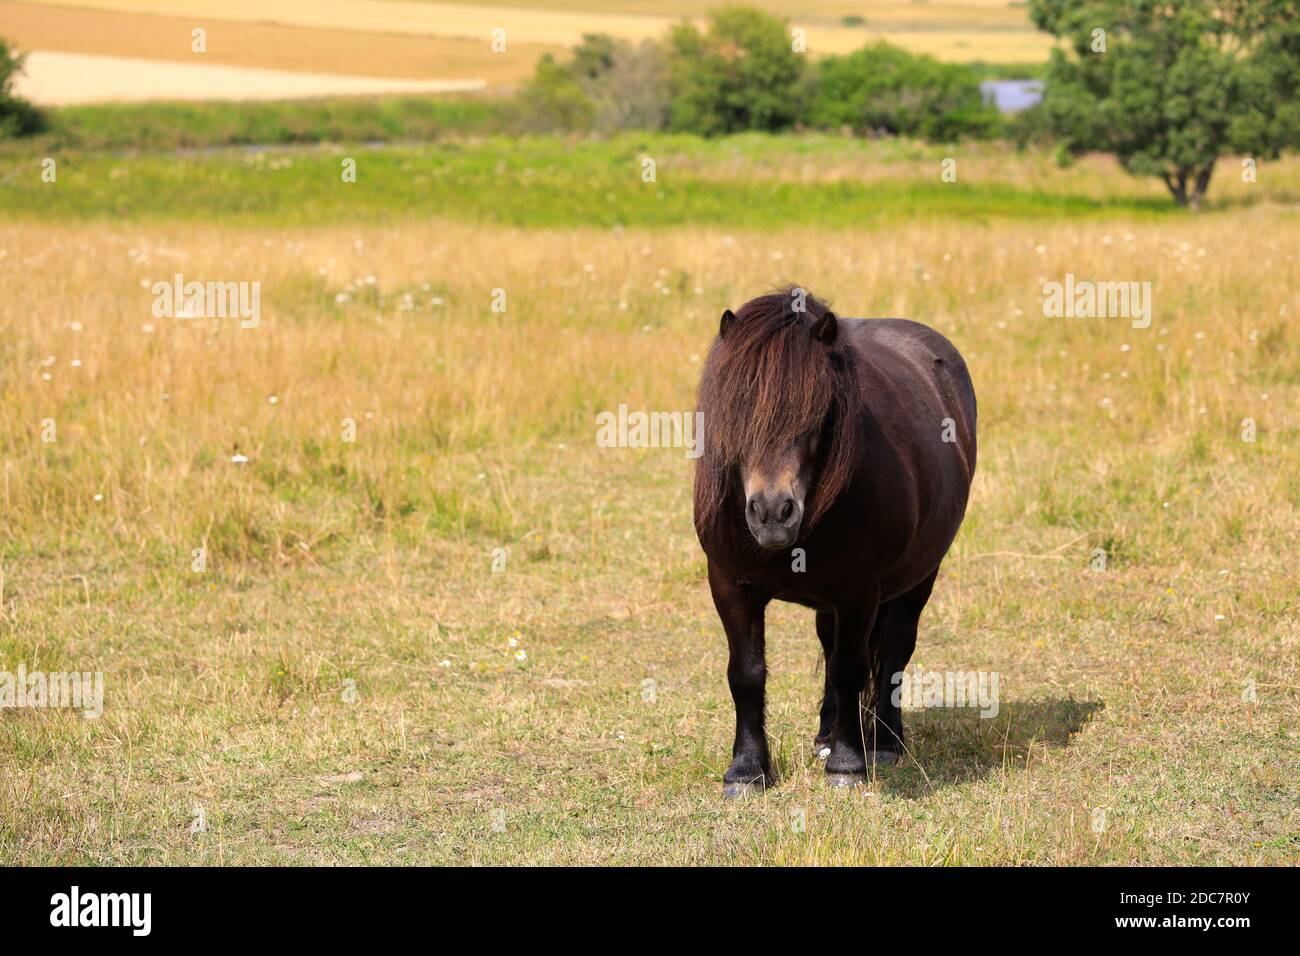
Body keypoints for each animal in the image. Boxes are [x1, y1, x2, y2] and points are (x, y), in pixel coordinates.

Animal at [693, 288, 977, 795]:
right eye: (737, 411)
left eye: (818, 414)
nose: (772, 513)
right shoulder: (729, 584)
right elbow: (746, 673)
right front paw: (746, 771)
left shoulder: (858, 591)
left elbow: (850, 669)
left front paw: (847, 765)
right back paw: (826, 734)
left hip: (921, 575)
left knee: (894, 649)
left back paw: (883, 743)